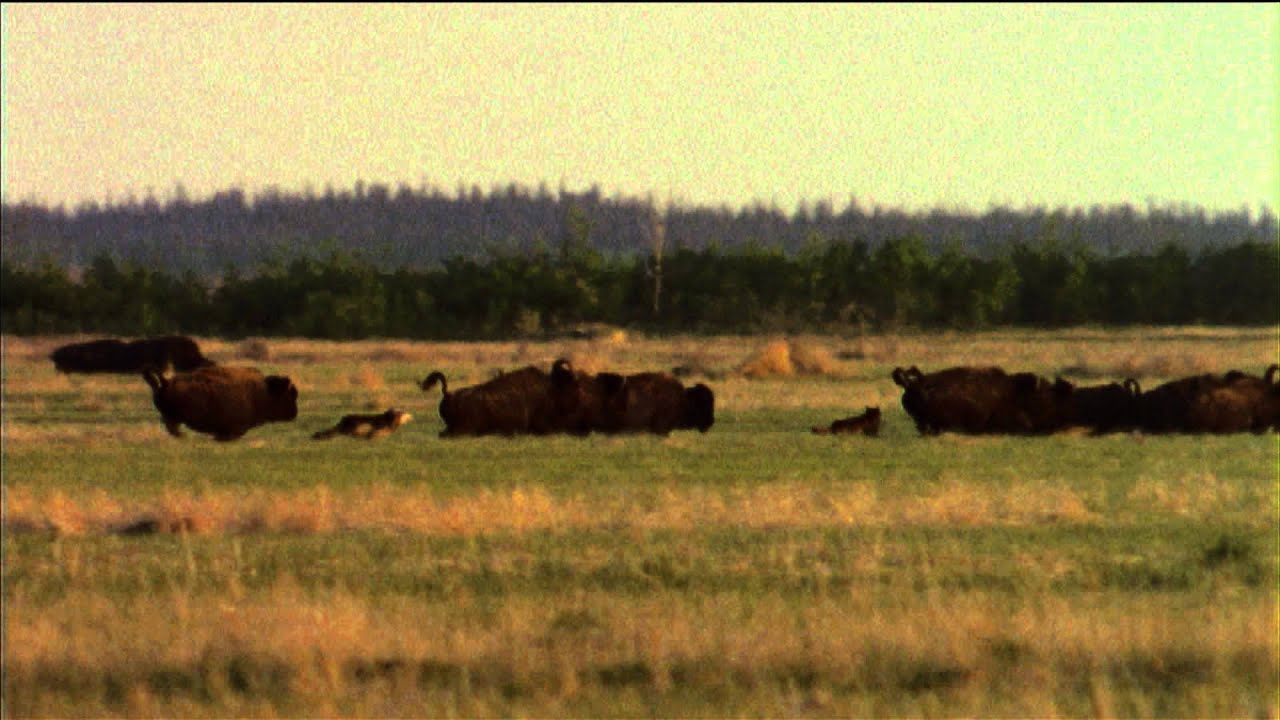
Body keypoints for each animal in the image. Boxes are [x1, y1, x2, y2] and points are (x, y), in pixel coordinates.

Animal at [142, 365, 299, 441]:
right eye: (290, 395)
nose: (294, 413)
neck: (263, 392)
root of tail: (166, 382)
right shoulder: (235, 429)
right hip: (174, 417)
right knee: (173, 428)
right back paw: (186, 437)